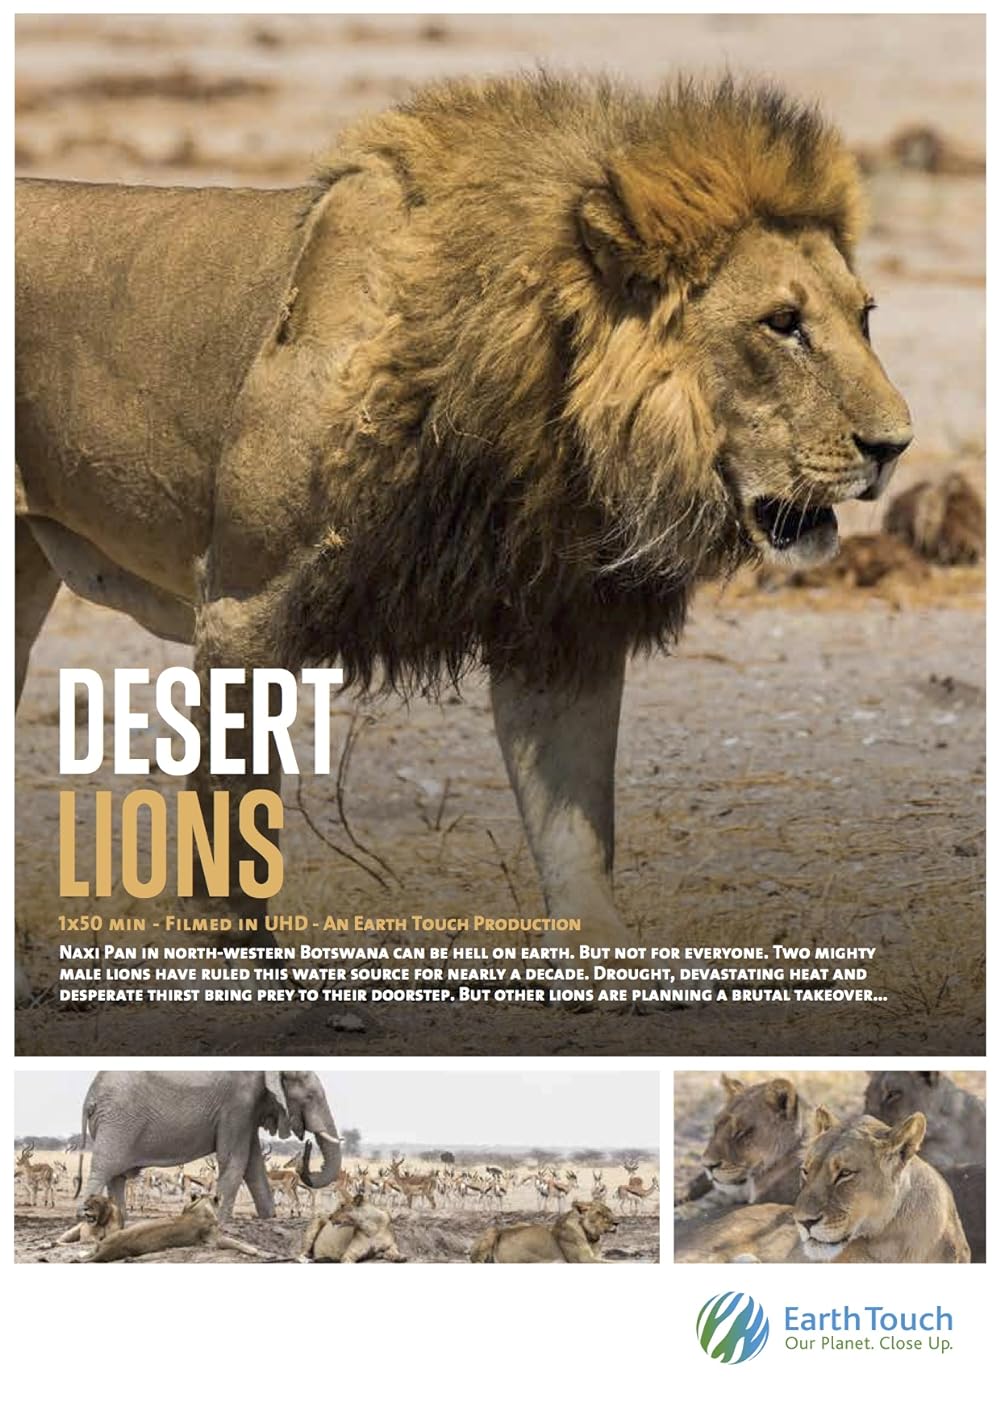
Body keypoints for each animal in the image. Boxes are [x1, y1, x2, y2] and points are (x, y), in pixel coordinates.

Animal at [15, 76, 911, 971]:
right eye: (782, 323)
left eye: (865, 316)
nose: (895, 445)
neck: (534, 410)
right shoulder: (244, 607)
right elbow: (231, 826)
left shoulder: (560, 622)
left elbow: (574, 826)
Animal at [470, 1199, 618, 1263]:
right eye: (599, 1213)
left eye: (610, 1211)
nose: (617, 1223)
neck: (591, 1237)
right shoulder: (583, 1260)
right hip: (491, 1230)